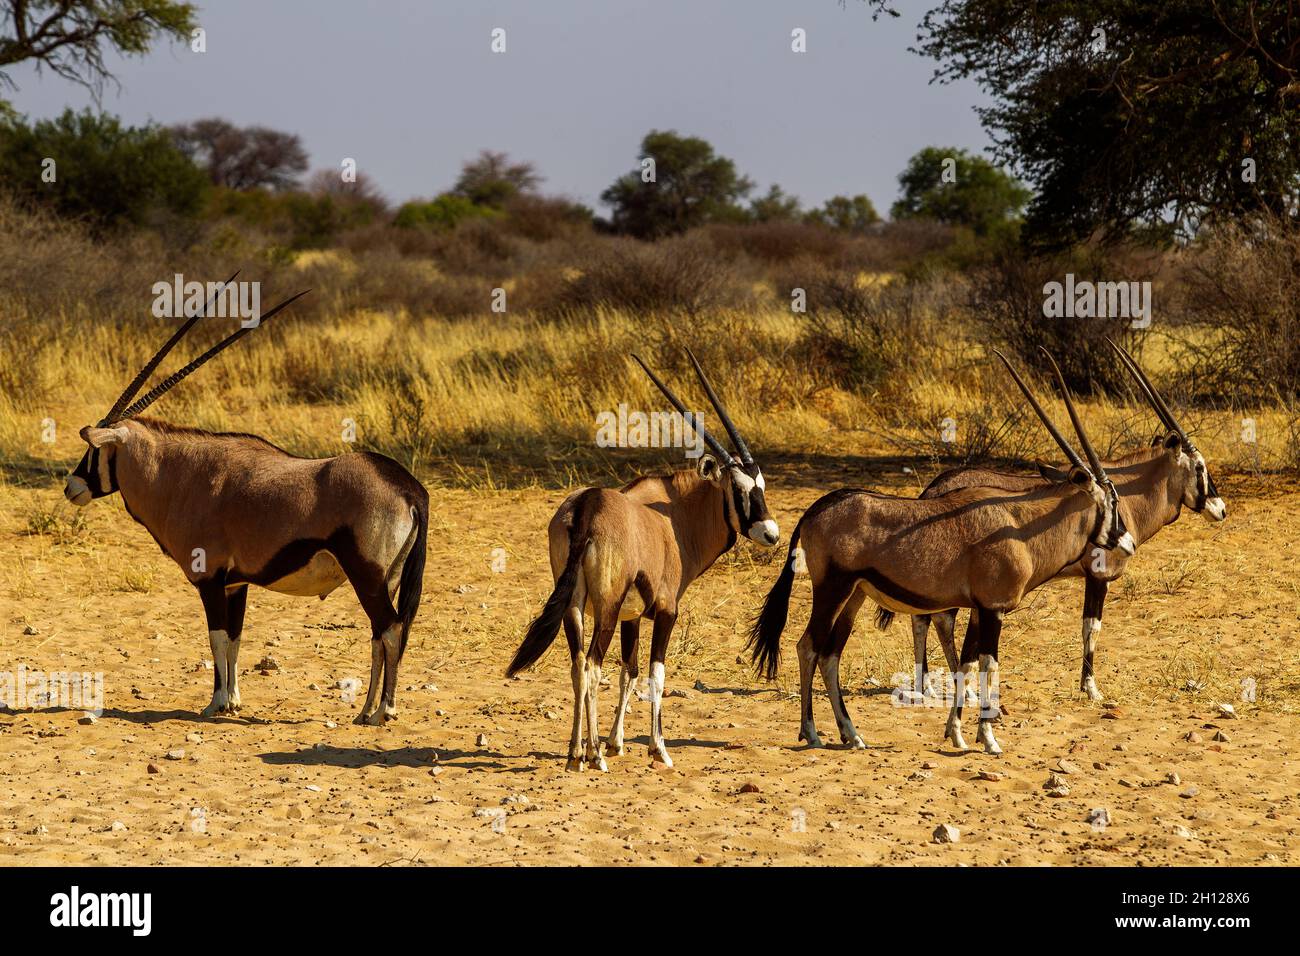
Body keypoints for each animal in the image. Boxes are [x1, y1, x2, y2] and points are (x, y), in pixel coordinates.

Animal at [64, 280, 428, 725]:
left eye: (95, 450)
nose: (71, 487)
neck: (181, 475)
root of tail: (409, 489)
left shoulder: (209, 579)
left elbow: (217, 638)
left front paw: (216, 703)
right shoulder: (236, 583)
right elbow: (236, 639)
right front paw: (234, 700)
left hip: (367, 575)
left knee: (390, 628)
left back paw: (383, 711)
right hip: (386, 579)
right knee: (381, 631)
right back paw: (364, 710)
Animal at [506, 350, 779, 771]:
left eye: (761, 485)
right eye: (738, 489)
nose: (771, 533)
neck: (675, 515)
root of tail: (587, 506)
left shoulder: (631, 617)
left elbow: (628, 672)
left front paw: (616, 742)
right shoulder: (665, 611)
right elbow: (655, 674)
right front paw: (657, 748)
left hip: (574, 607)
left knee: (577, 666)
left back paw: (575, 754)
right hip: (605, 606)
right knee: (591, 665)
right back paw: (593, 756)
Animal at [748, 348, 1135, 755]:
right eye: (1112, 500)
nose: (1127, 542)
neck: (1020, 524)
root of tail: (814, 510)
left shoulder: (979, 609)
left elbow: (965, 666)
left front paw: (957, 733)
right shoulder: (994, 609)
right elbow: (988, 666)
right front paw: (989, 739)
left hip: (854, 596)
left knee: (830, 654)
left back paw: (851, 733)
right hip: (832, 589)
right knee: (808, 646)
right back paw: (811, 731)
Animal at [908, 339, 1226, 701]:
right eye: (1199, 467)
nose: (1220, 509)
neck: (1128, 496)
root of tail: (933, 489)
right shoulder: (1099, 575)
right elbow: (1091, 628)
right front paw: (1091, 688)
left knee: (925, 618)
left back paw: (926, 685)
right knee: (939, 619)